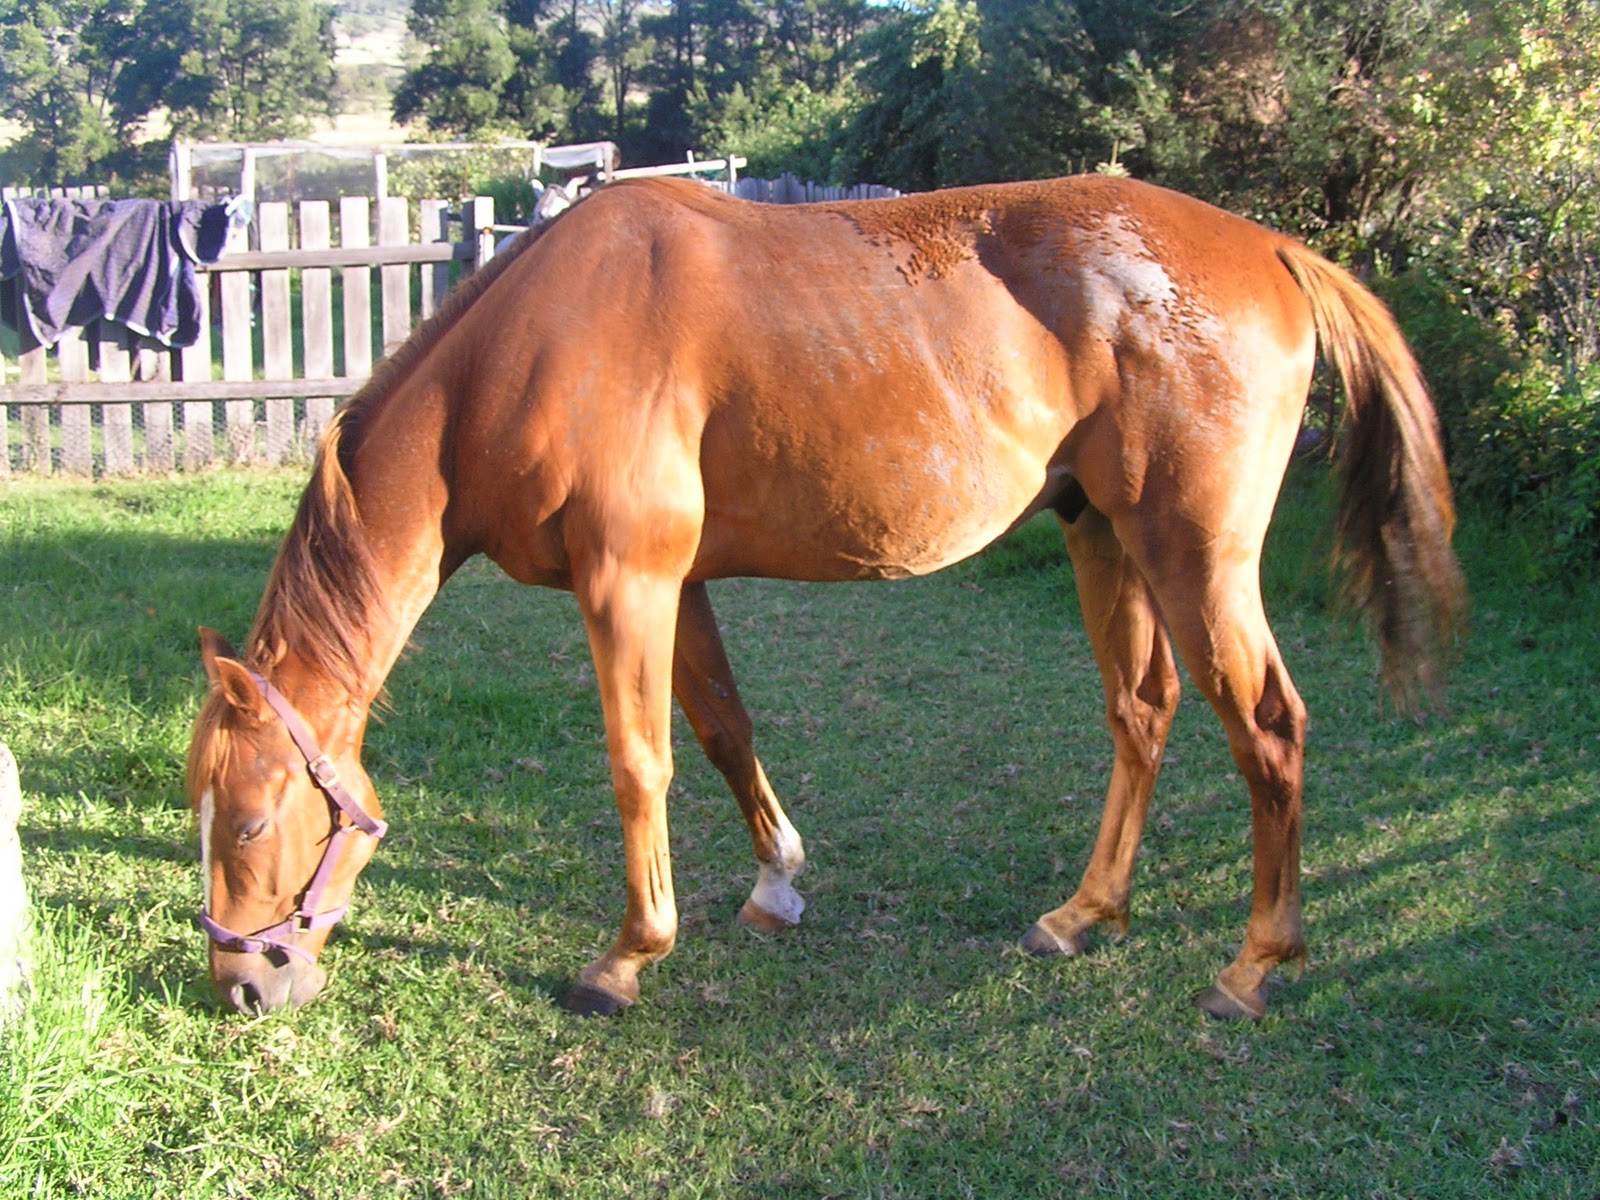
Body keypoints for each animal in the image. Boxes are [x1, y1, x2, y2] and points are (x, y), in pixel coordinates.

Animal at [186, 174, 1464, 1019]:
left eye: (248, 821)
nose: (241, 986)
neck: (525, 352)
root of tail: (1269, 249)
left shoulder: (625, 585)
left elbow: (638, 764)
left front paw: (627, 957)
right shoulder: (679, 584)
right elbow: (720, 729)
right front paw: (775, 885)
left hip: (1196, 559)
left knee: (1267, 728)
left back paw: (1252, 966)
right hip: (1107, 537)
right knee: (1140, 714)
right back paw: (1083, 914)